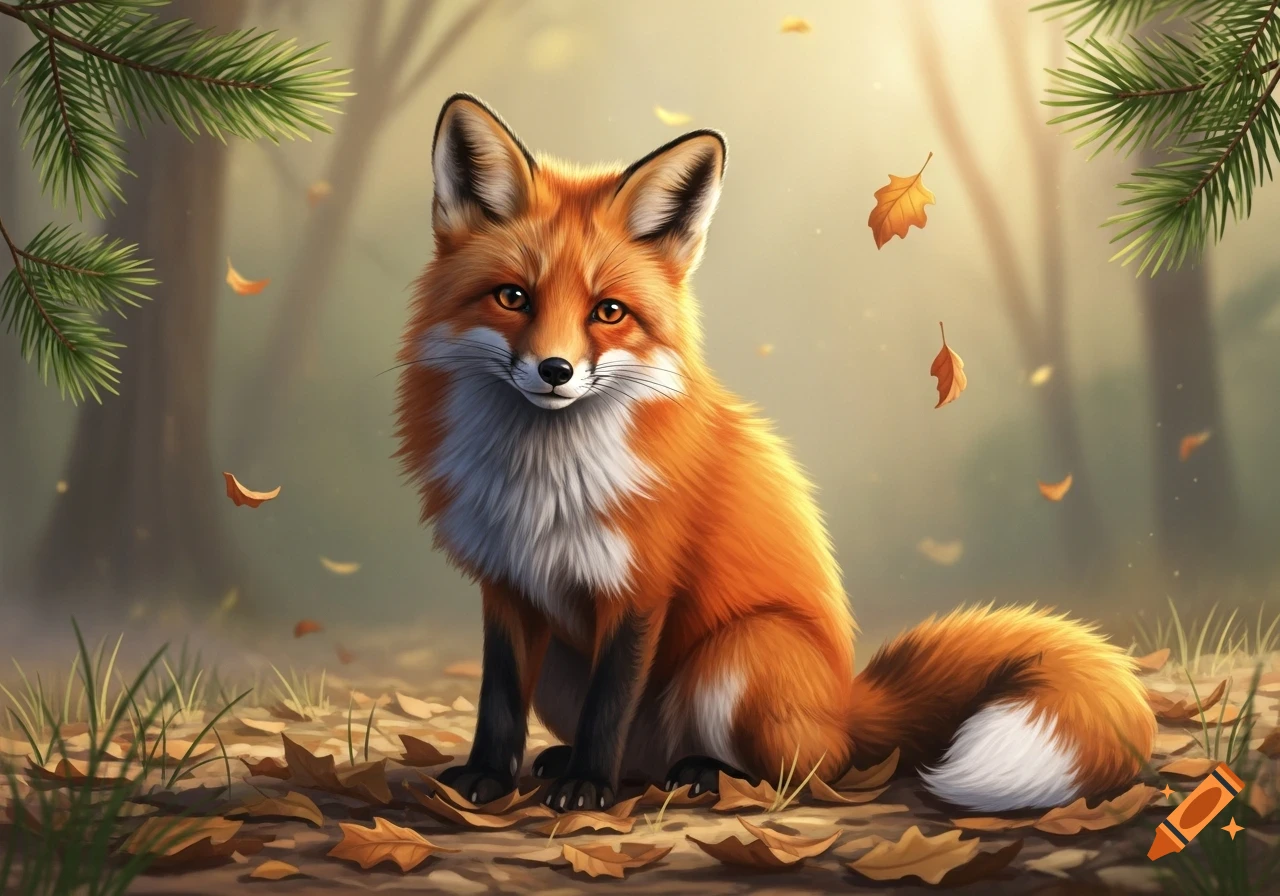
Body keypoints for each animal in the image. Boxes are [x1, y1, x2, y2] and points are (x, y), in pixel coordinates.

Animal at [394, 93, 1156, 814]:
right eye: (512, 297)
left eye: (608, 312)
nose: (555, 371)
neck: (544, 481)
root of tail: (846, 707)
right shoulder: (508, 586)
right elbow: (498, 700)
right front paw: (489, 779)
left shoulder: (641, 588)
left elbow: (609, 705)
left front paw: (587, 787)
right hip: (565, 664)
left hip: (739, 654)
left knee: (802, 772)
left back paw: (701, 774)